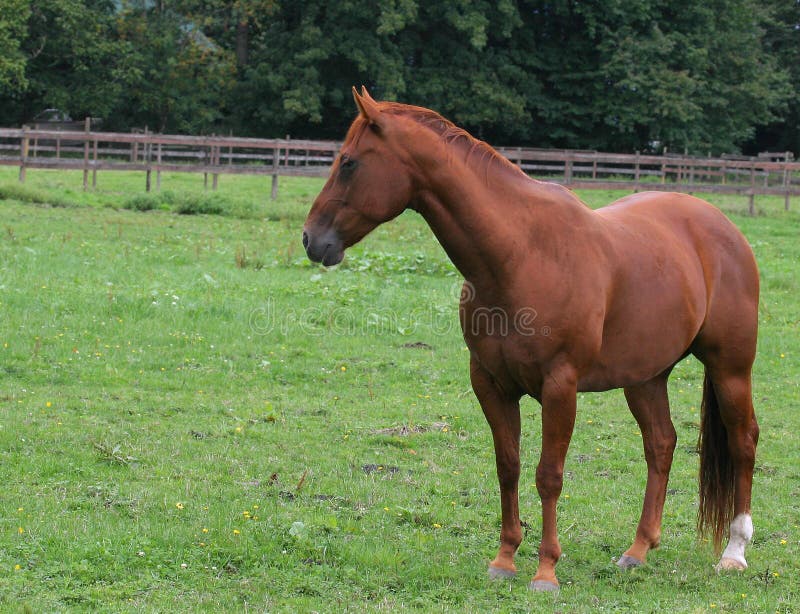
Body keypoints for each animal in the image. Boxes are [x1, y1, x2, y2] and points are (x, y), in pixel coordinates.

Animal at [302, 87, 760, 591]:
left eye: (349, 163)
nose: (311, 240)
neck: (520, 255)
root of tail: (722, 227)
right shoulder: (491, 384)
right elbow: (509, 466)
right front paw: (504, 559)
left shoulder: (560, 386)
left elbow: (549, 475)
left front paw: (546, 570)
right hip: (645, 377)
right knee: (661, 445)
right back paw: (638, 550)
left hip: (730, 368)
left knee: (743, 440)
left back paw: (735, 552)